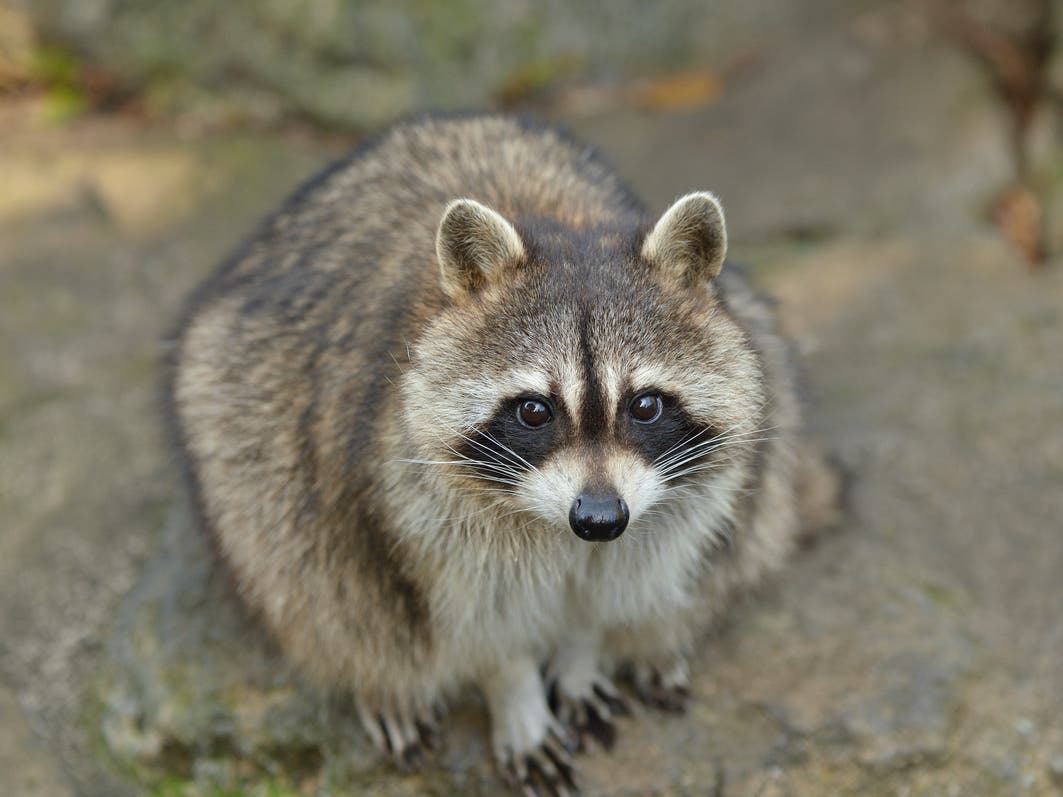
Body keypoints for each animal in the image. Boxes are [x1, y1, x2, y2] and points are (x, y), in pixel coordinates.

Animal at [168, 113, 831, 794]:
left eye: (645, 405)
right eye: (534, 411)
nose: (599, 519)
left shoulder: (667, 505)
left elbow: (609, 587)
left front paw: (584, 651)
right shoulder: (414, 497)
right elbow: (484, 622)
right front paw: (515, 695)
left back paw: (656, 637)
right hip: (238, 428)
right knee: (313, 580)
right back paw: (382, 683)